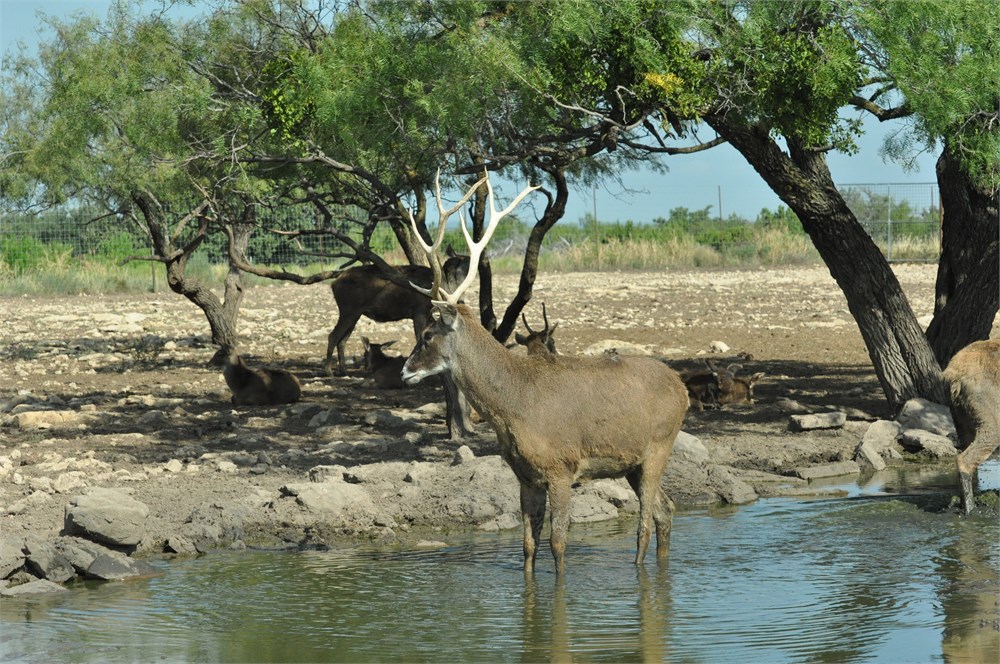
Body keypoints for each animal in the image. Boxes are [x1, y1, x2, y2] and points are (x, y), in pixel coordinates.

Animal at [400, 170, 689, 574]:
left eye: (427, 334)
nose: (404, 370)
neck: (514, 407)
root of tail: (683, 389)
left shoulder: (561, 468)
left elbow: (558, 543)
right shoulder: (526, 476)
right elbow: (527, 546)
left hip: (659, 446)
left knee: (646, 522)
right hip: (633, 463)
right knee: (666, 509)